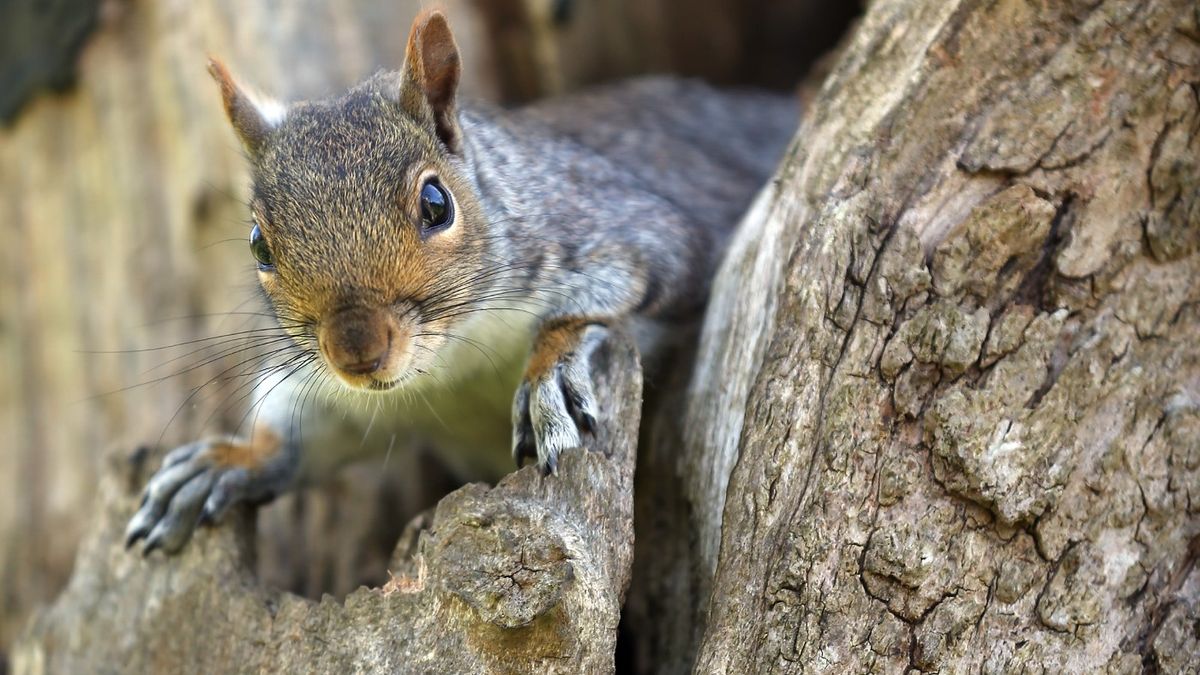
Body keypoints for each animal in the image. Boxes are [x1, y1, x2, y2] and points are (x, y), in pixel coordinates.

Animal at [125, 10, 796, 554]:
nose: (356, 352)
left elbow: (607, 296)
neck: (452, 364)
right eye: (259, 245)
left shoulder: (631, 231)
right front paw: (228, 461)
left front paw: (549, 372)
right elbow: (306, 432)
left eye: (436, 204)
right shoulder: (346, 397)